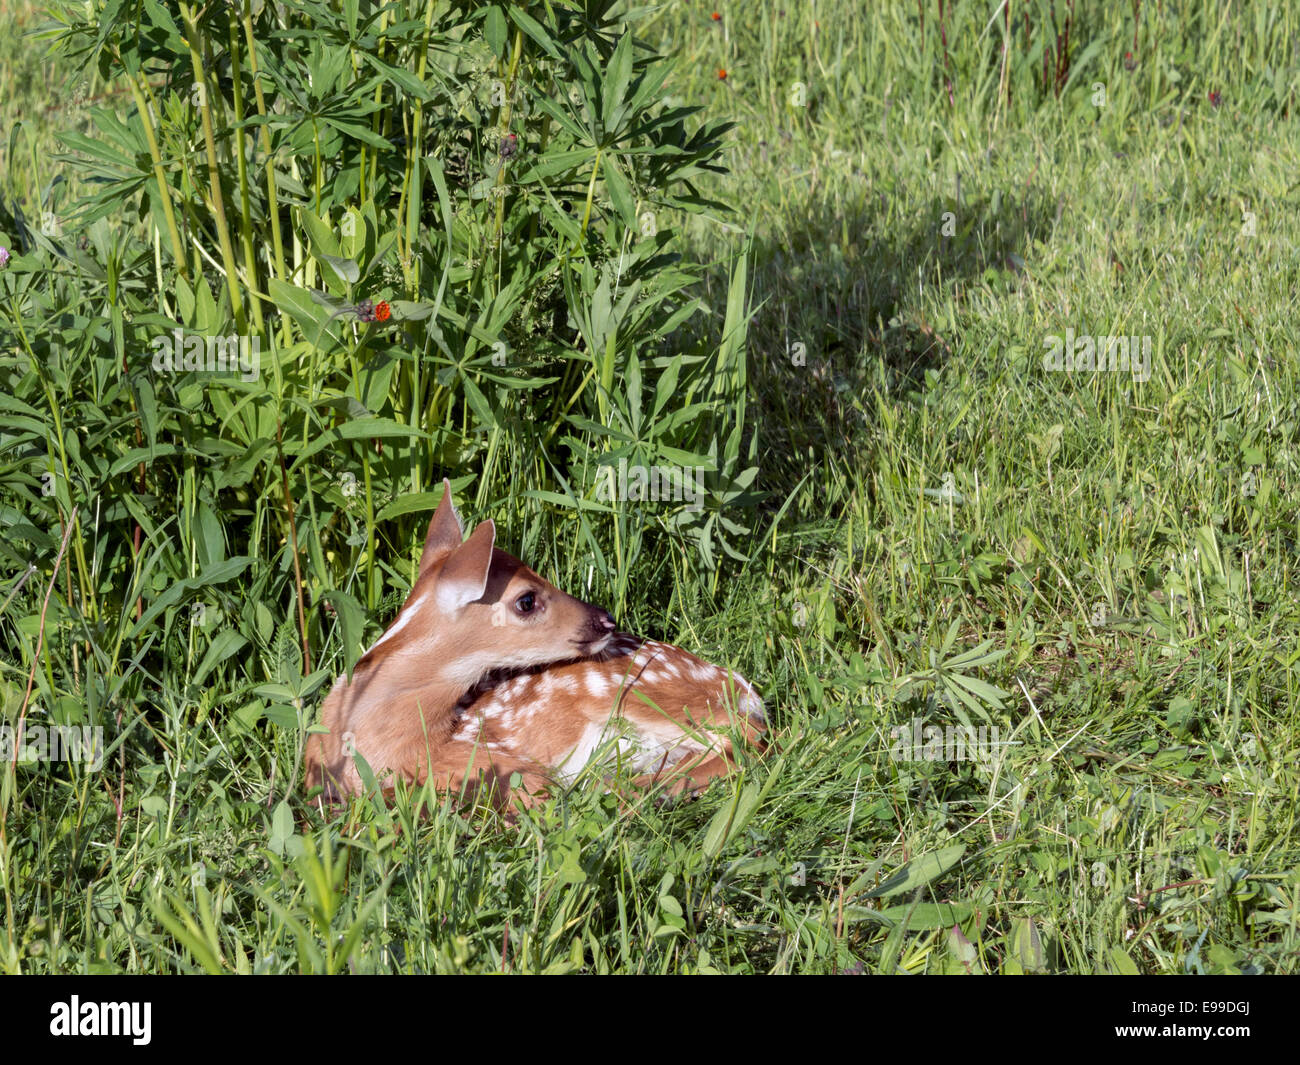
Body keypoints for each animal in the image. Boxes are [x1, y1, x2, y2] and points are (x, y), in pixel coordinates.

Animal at [304, 480, 764, 809]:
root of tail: (745, 690)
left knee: (749, 745)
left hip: (647, 698)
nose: (605, 619)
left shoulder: (499, 761)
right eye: (526, 599)